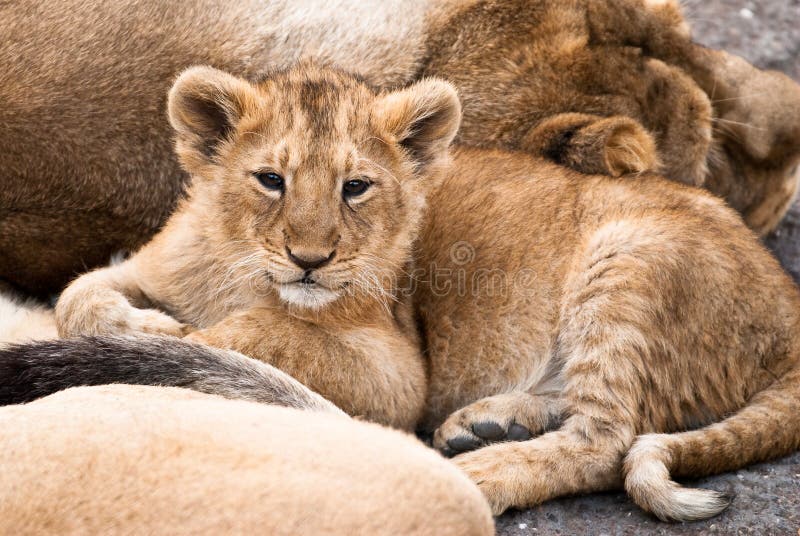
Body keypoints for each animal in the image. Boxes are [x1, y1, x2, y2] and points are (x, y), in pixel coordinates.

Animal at [7, 63, 800, 523]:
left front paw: (180, 338)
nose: (310, 260)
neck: (237, 267)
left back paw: (473, 471)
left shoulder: (397, 370)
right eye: (271, 179)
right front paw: (133, 323)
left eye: (356, 187)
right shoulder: (155, 265)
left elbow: (272, 334)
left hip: (629, 259)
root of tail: (788, 301)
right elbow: (79, 290)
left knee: (605, 441)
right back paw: (490, 422)